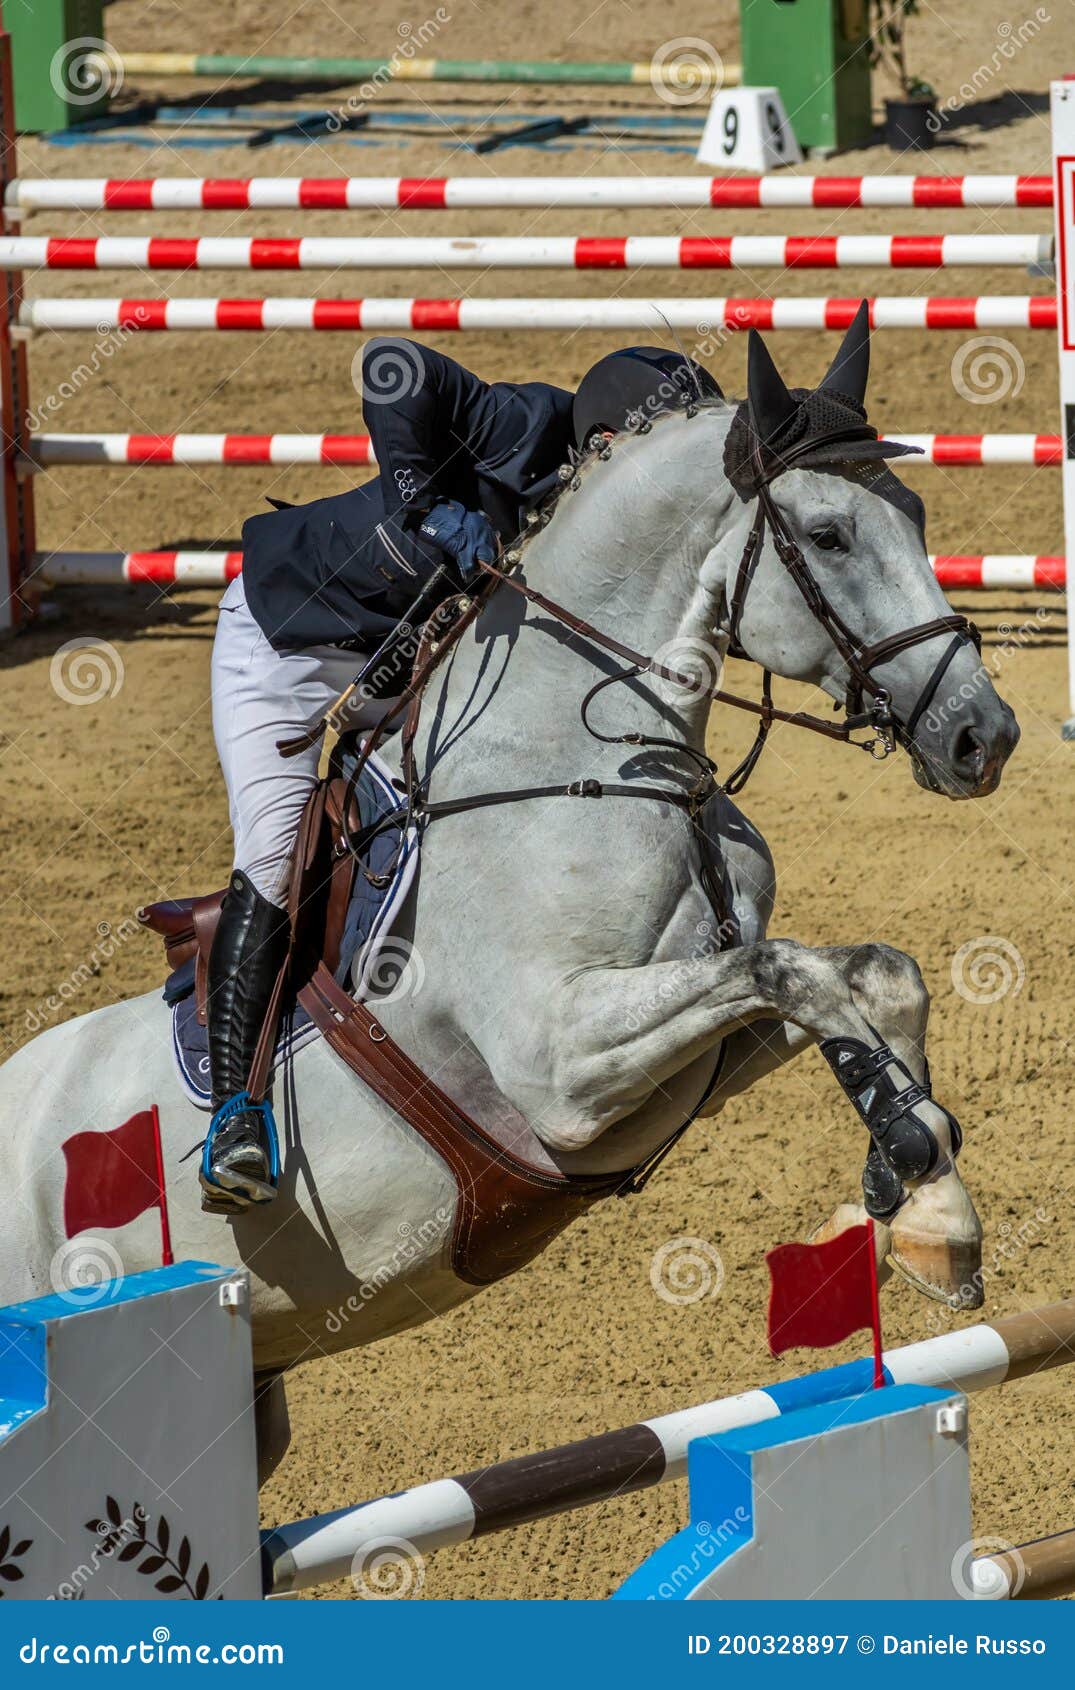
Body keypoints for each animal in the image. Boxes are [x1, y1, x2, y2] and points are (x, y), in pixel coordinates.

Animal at [0, 317, 1018, 1479]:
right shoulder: (559, 1069)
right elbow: (794, 969)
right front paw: (919, 1186)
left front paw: (927, 1200)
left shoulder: (700, 1044)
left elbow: (862, 977)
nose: (982, 736)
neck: (584, 754)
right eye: (829, 534)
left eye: (916, 515)